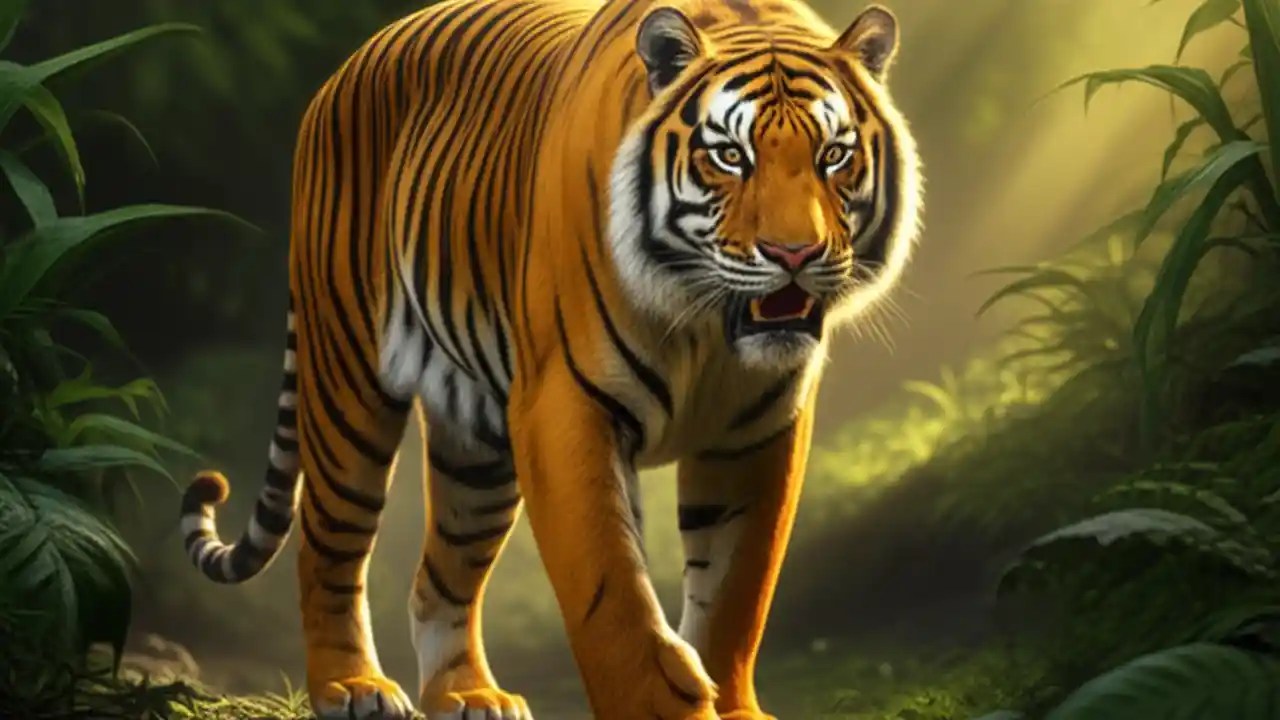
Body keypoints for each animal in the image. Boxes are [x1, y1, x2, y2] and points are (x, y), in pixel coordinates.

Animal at [177, 0, 921, 717]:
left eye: (834, 155)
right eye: (730, 156)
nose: (795, 254)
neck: (707, 328)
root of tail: (348, 66)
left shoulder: (756, 432)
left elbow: (736, 592)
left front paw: (729, 700)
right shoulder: (568, 406)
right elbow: (612, 593)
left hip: (477, 446)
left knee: (438, 578)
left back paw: (467, 696)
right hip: (348, 383)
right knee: (327, 542)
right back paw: (350, 687)